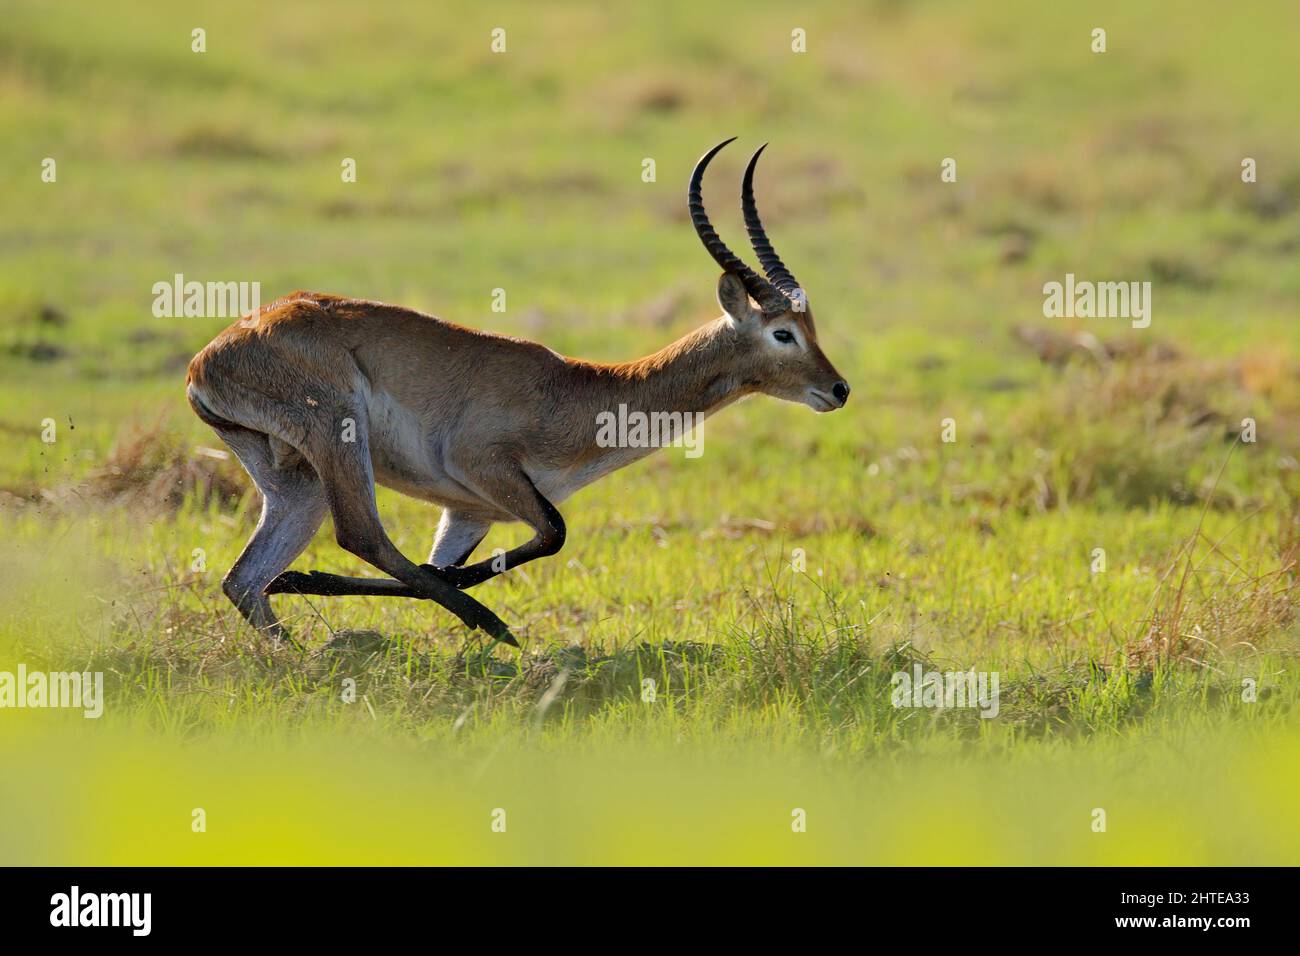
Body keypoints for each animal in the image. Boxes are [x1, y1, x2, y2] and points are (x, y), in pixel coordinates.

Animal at [186, 139, 850, 647]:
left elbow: (449, 565)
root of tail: (208, 357)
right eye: (783, 332)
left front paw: (309, 581)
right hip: (337, 436)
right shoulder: (486, 467)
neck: (577, 394)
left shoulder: (470, 510)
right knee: (359, 534)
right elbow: (553, 533)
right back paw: (491, 627)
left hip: (295, 481)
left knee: (245, 580)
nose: (838, 389)